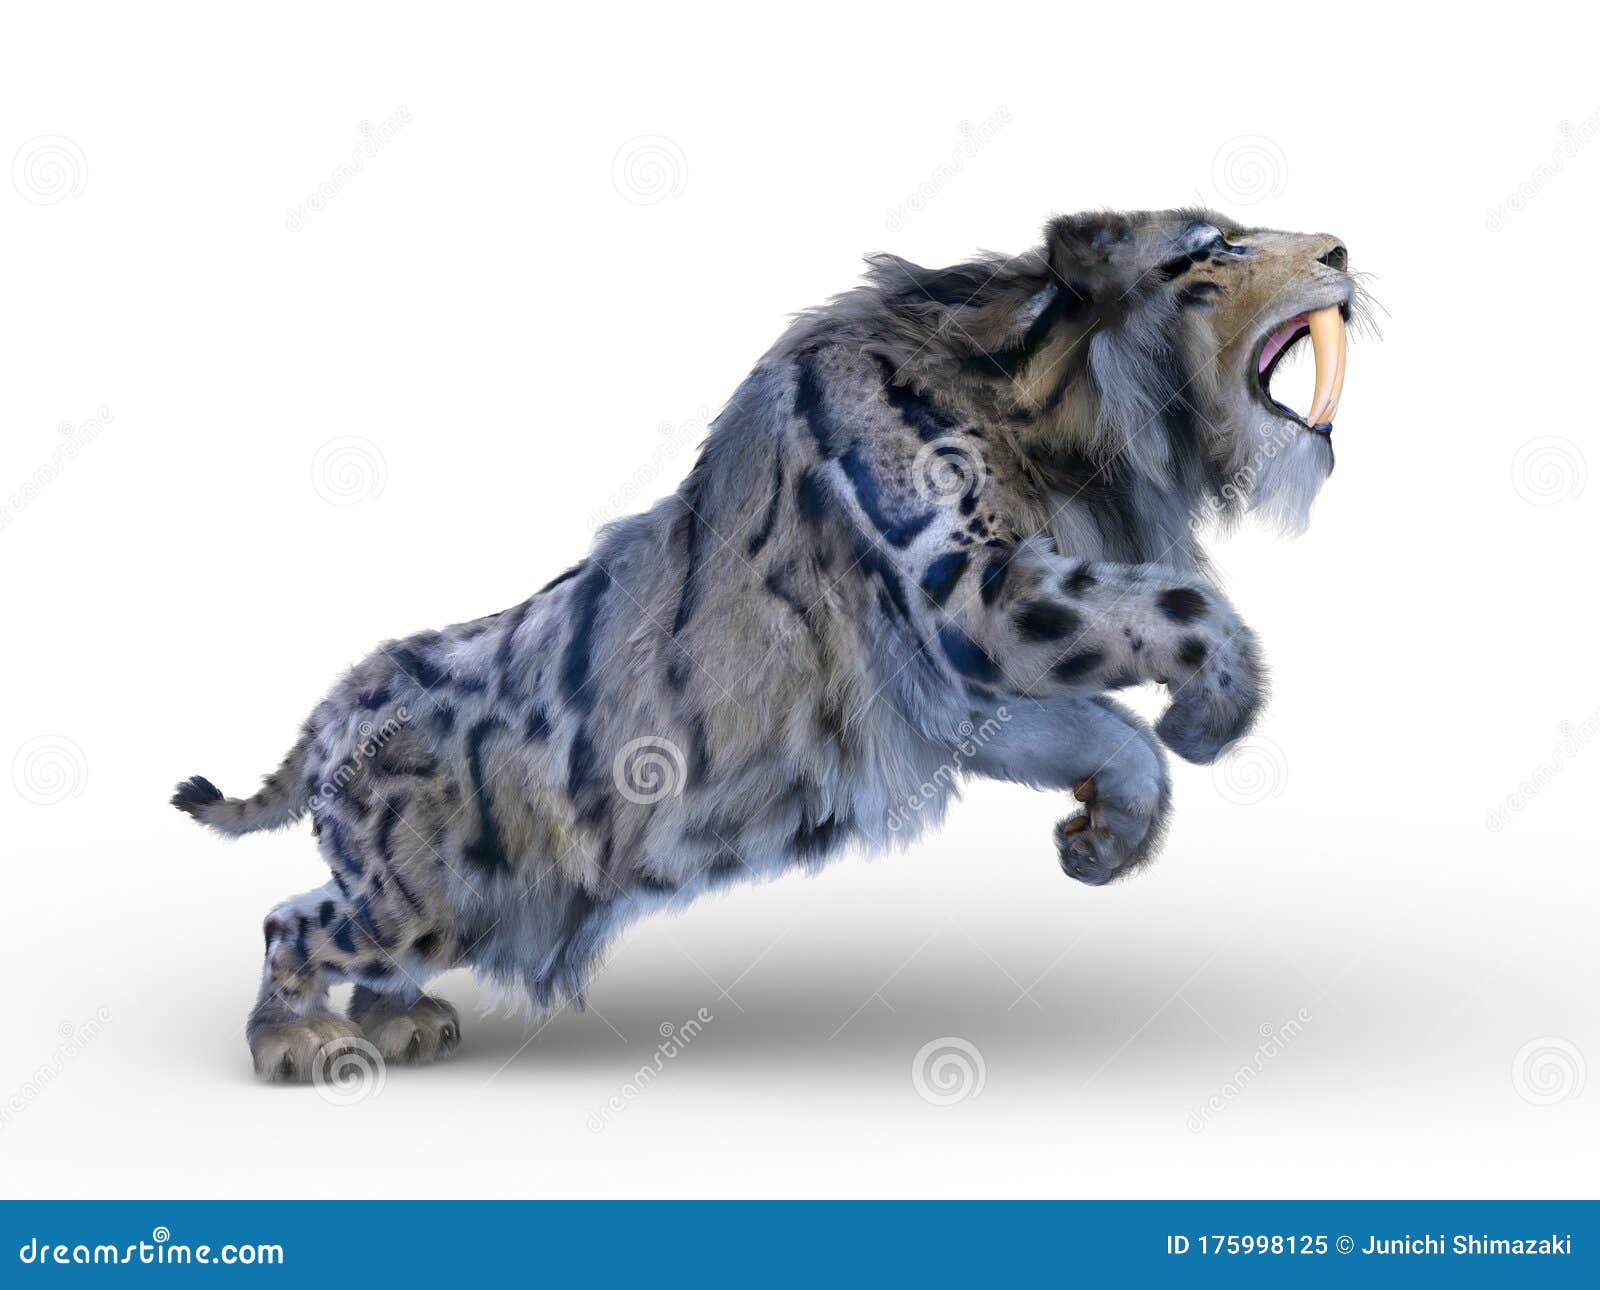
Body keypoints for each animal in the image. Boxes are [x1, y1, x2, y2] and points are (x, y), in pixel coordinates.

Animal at [172, 207, 1363, 1081]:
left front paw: (1106, 838)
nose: (1344, 252)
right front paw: (1216, 712)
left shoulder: (960, 692)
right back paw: (298, 1042)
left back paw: (403, 1025)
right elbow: (1182, 610)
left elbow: (1113, 736)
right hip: (421, 897)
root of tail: (333, 710)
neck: (1064, 418)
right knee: (291, 922)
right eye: (1221, 247)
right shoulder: (975, 595)